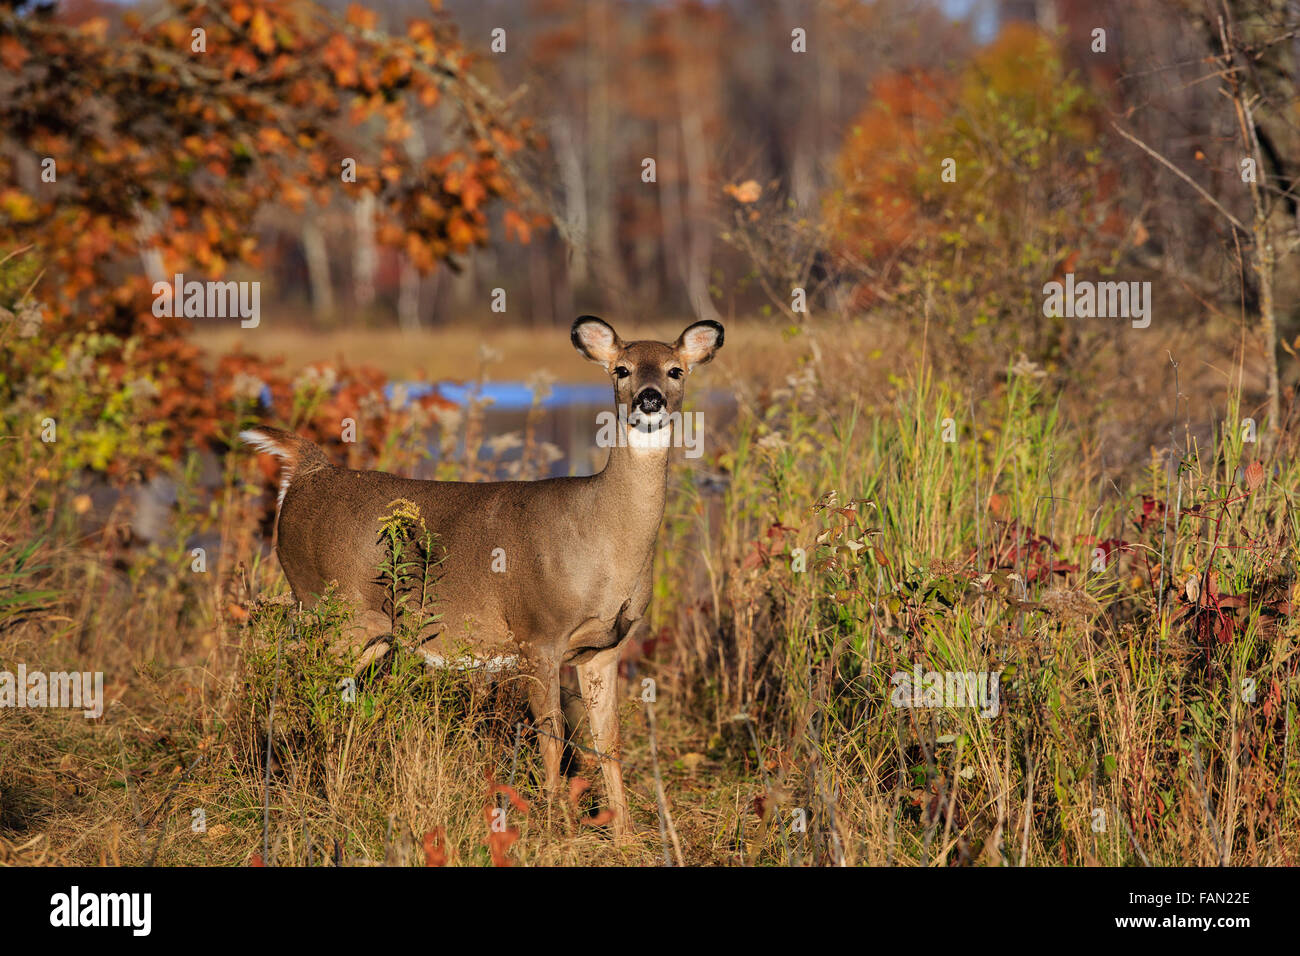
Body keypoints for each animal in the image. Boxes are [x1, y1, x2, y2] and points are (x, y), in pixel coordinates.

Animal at [241, 316, 723, 839]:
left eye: (675, 370)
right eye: (622, 369)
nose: (649, 398)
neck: (606, 543)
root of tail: (307, 472)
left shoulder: (605, 647)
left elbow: (608, 741)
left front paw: (623, 836)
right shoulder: (538, 634)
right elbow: (552, 735)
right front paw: (558, 828)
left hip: (371, 633)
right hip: (327, 609)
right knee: (301, 689)